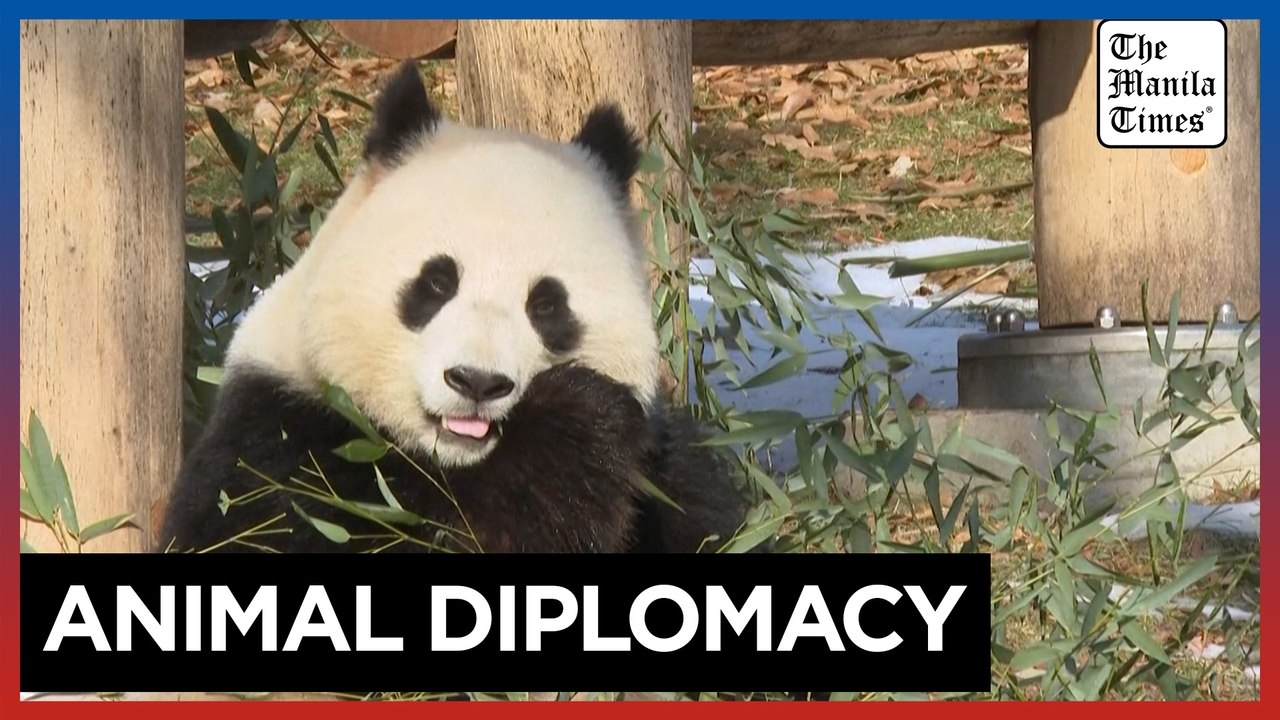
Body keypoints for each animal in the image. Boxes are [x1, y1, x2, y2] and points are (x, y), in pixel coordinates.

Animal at [158, 62, 749, 555]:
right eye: (437, 283)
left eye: (547, 305)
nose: (477, 382)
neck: (451, 462)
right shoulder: (280, 435)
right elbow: (259, 528)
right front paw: (575, 421)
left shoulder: (666, 470)